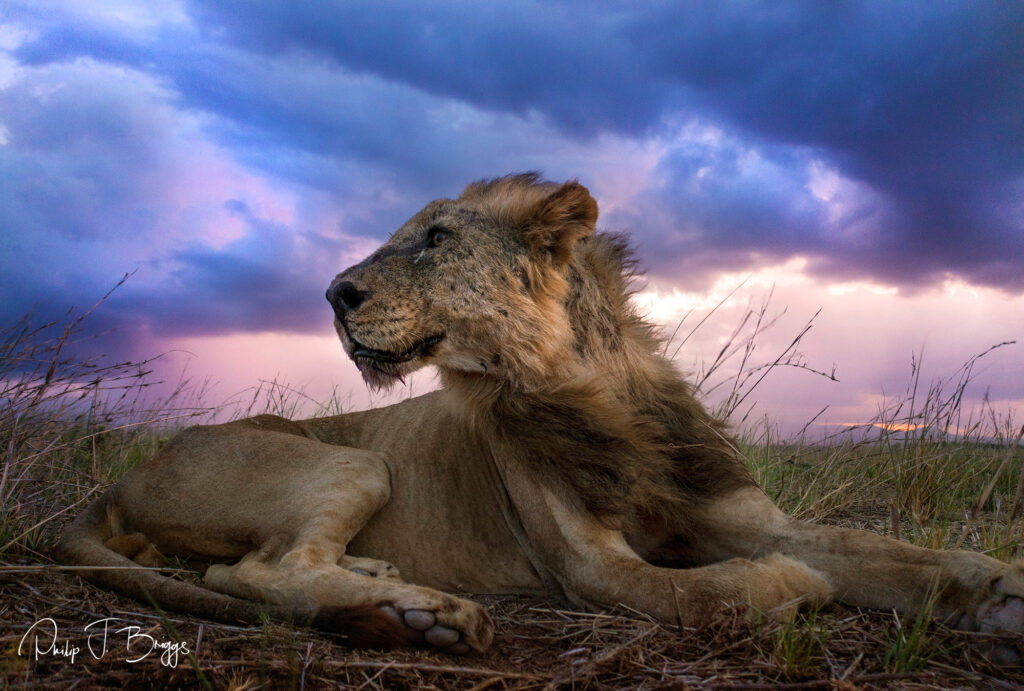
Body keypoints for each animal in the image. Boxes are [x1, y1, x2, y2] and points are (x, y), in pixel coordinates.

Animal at [59, 173, 1024, 658]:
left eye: (437, 238)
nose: (333, 294)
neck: (586, 387)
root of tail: (115, 484)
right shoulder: (590, 566)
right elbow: (709, 586)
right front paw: (789, 586)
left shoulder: (745, 513)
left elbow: (889, 553)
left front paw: (997, 590)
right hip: (356, 460)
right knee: (251, 573)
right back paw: (425, 616)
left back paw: (385, 585)